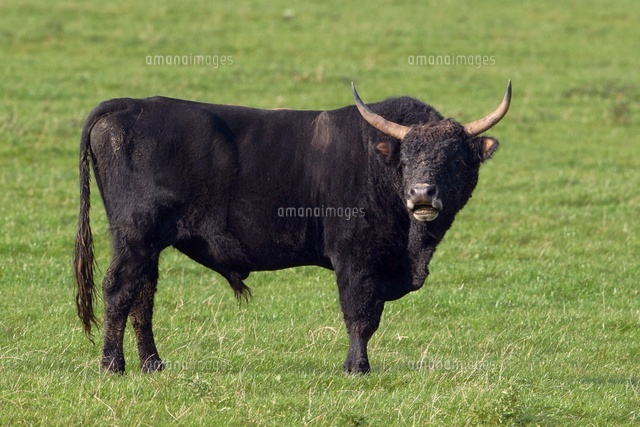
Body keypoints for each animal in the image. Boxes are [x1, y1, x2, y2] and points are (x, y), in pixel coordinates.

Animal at [74, 81, 511, 374]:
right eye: (405, 161)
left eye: (456, 160)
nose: (421, 194)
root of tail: (130, 105)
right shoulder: (354, 257)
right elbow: (360, 315)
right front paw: (357, 367)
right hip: (134, 237)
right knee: (118, 291)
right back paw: (112, 365)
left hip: (148, 244)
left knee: (142, 296)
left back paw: (153, 363)